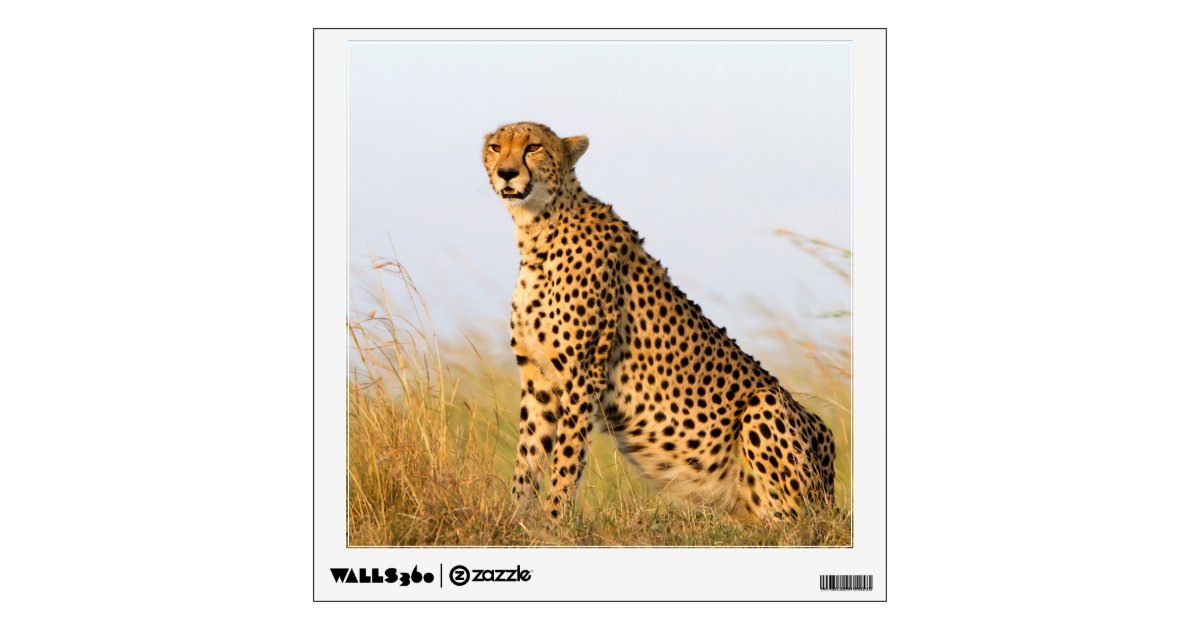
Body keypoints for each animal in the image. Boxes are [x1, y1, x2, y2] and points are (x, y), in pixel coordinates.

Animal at [482, 121, 836, 522]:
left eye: (533, 147)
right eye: (496, 147)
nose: (506, 172)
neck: (538, 228)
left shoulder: (582, 373)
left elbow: (566, 459)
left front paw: (555, 521)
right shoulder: (538, 377)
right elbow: (528, 455)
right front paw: (515, 519)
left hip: (768, 408)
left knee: (795, 522)